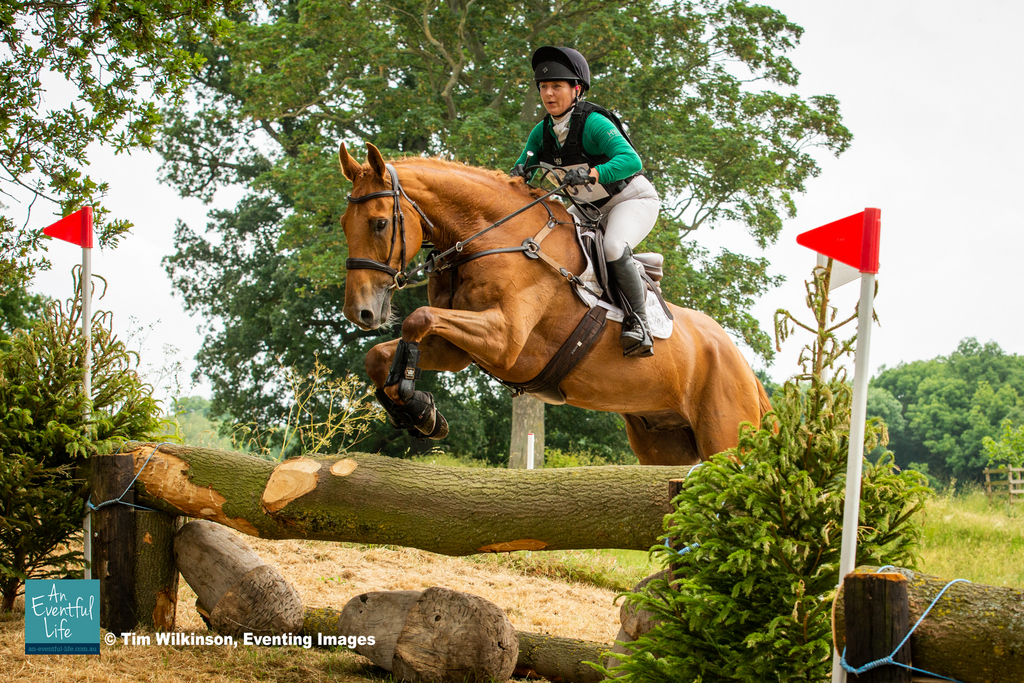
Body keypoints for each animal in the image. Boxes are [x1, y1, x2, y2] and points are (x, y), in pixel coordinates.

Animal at [338, 142, 771, 466]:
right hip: (663, 443)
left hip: (726, 437)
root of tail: (744, 367)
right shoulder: (456, 348)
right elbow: (381, 354)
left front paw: (417, 406)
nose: (361, 312)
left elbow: (417, 318)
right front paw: (419, 412)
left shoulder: (505, 340)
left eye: (379, 223)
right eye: (344, 224)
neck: (494, 237)